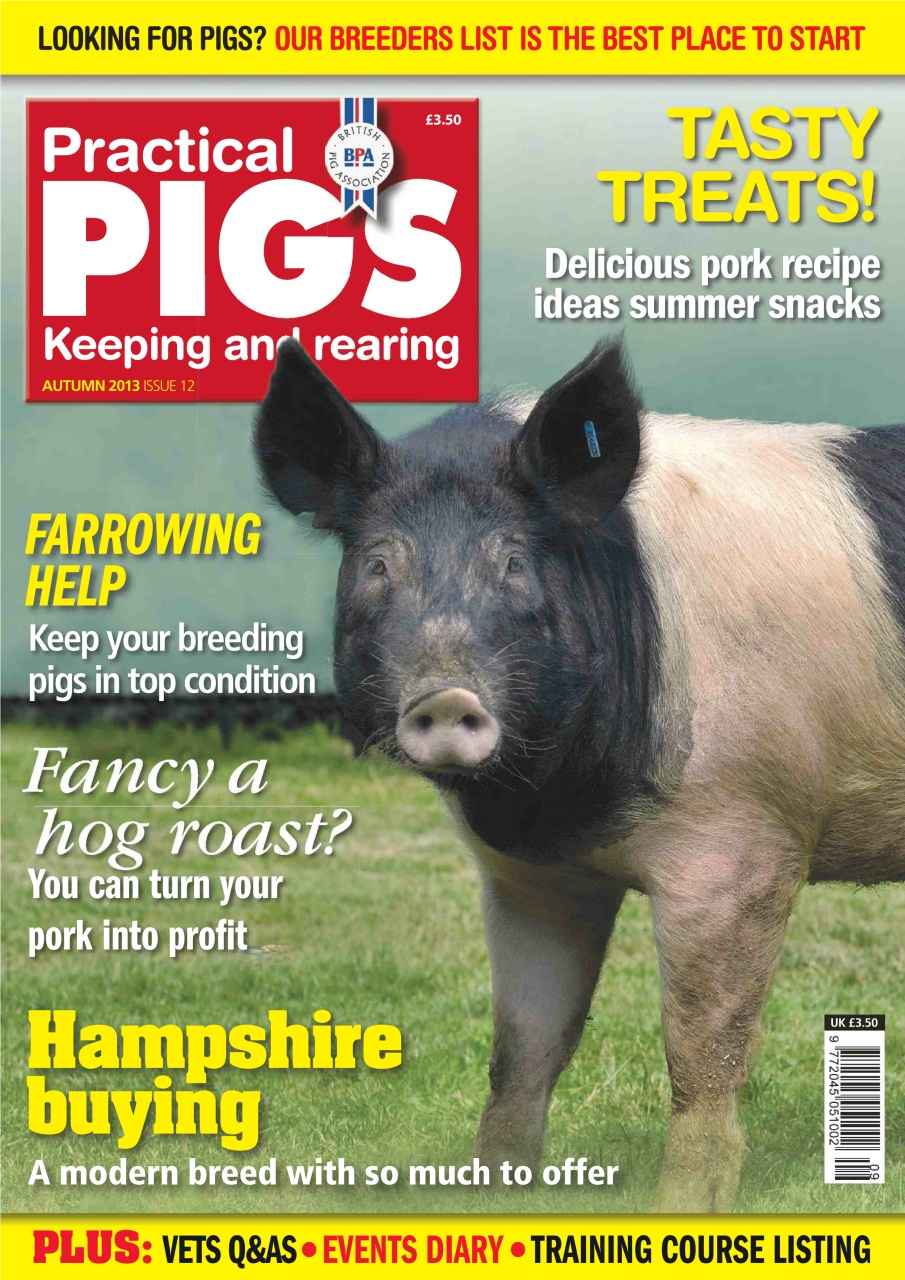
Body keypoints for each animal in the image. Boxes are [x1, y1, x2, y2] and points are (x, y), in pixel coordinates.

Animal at [255, 337, 905, 1212]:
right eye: (377, 565)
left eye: (514, 563)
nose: (445, 694)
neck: (559, 812)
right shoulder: (528, 876)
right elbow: (524, 1047)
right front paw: (494, 1195)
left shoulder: (746, 845)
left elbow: (702, 1052)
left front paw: (683, 1211)